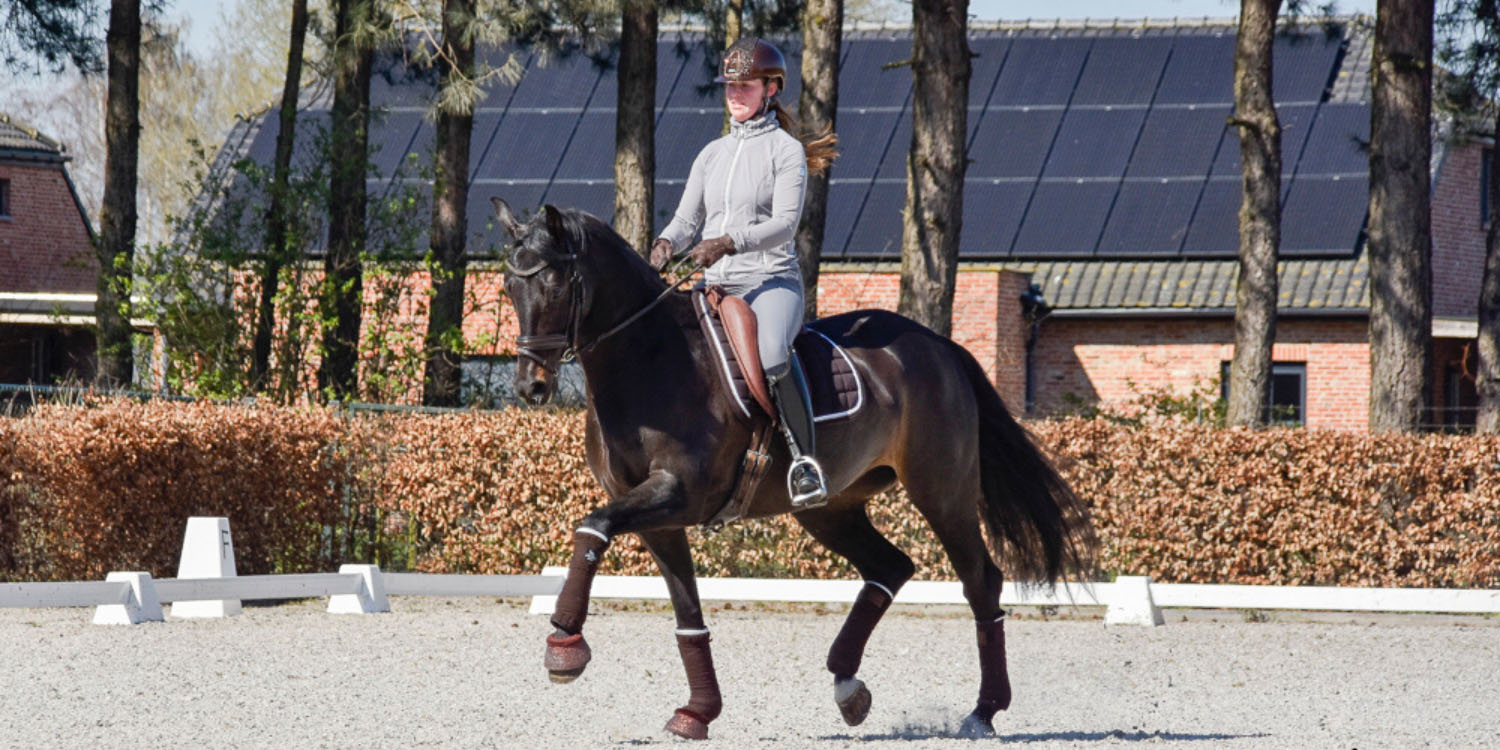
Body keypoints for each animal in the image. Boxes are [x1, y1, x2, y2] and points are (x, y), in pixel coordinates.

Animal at [492, 198, 1094, 740]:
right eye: (509, 288)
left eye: (554, 285)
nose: (531, 387)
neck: (649, 362)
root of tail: (937, 345)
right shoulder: (660, 516)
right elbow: (687, 613)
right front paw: (697, 714)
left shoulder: (678, 492)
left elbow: (591, 526)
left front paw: (564, 647)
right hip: (830, 508)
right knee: (891, 566)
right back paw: (848, 686)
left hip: (940, 491)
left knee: (980, 582)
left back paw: (983, 712)